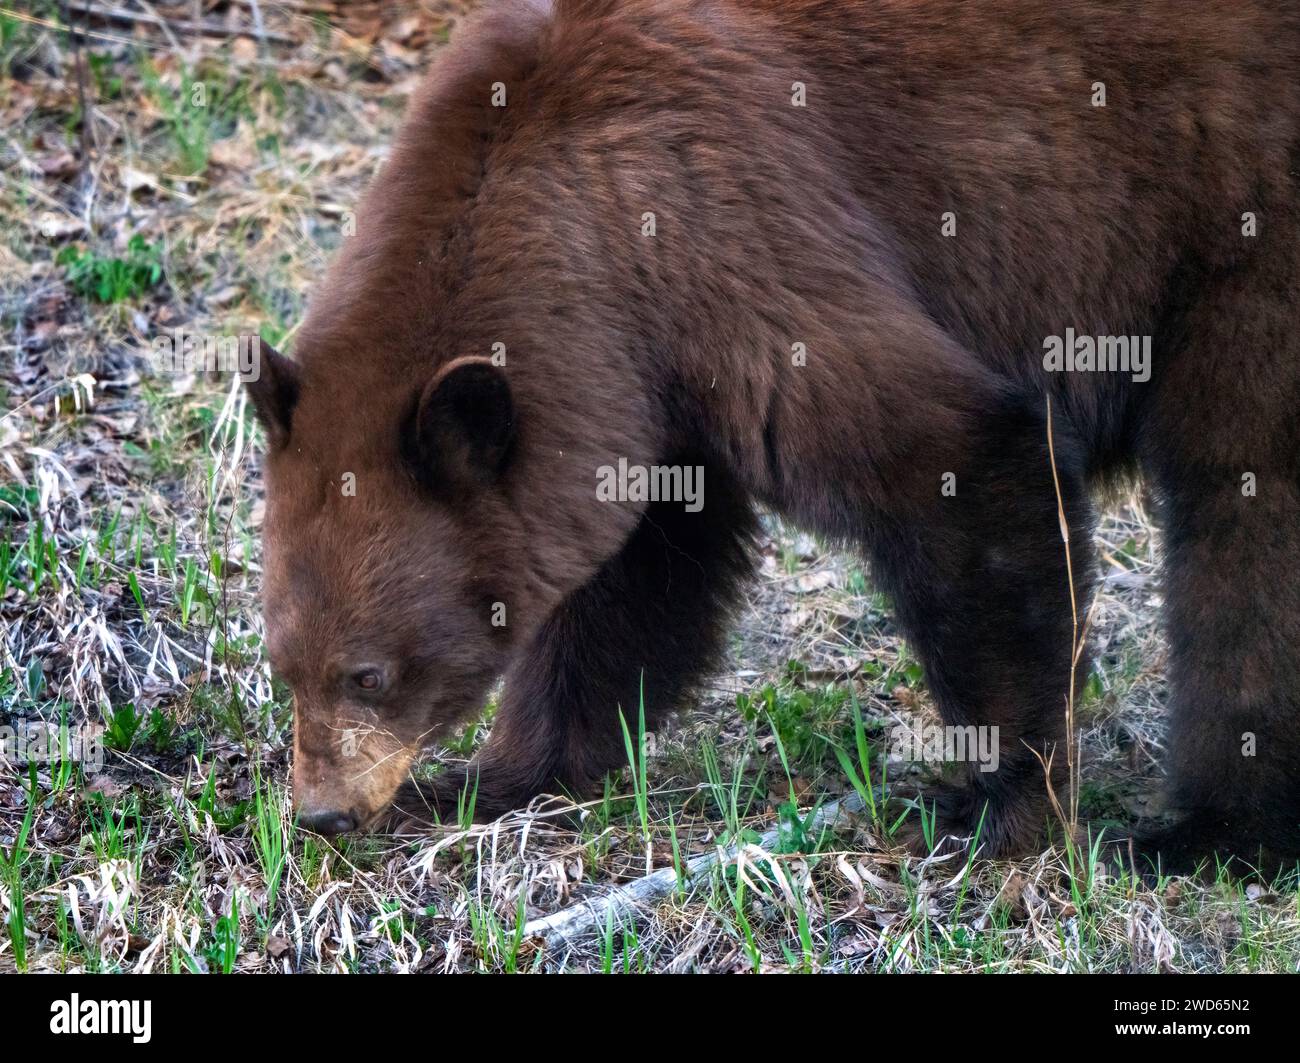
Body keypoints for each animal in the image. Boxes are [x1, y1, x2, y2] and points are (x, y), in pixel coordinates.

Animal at [246, 0, 1300, 874]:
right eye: (282, 664)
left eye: (370, 672)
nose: (322, 813)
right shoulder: (641, 384)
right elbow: (642, 582)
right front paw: (488, 779)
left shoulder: (727, 216)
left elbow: (955, 455)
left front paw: (1006, 804)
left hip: (1236, 224)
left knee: (1245, 503)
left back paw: (1214, 834)